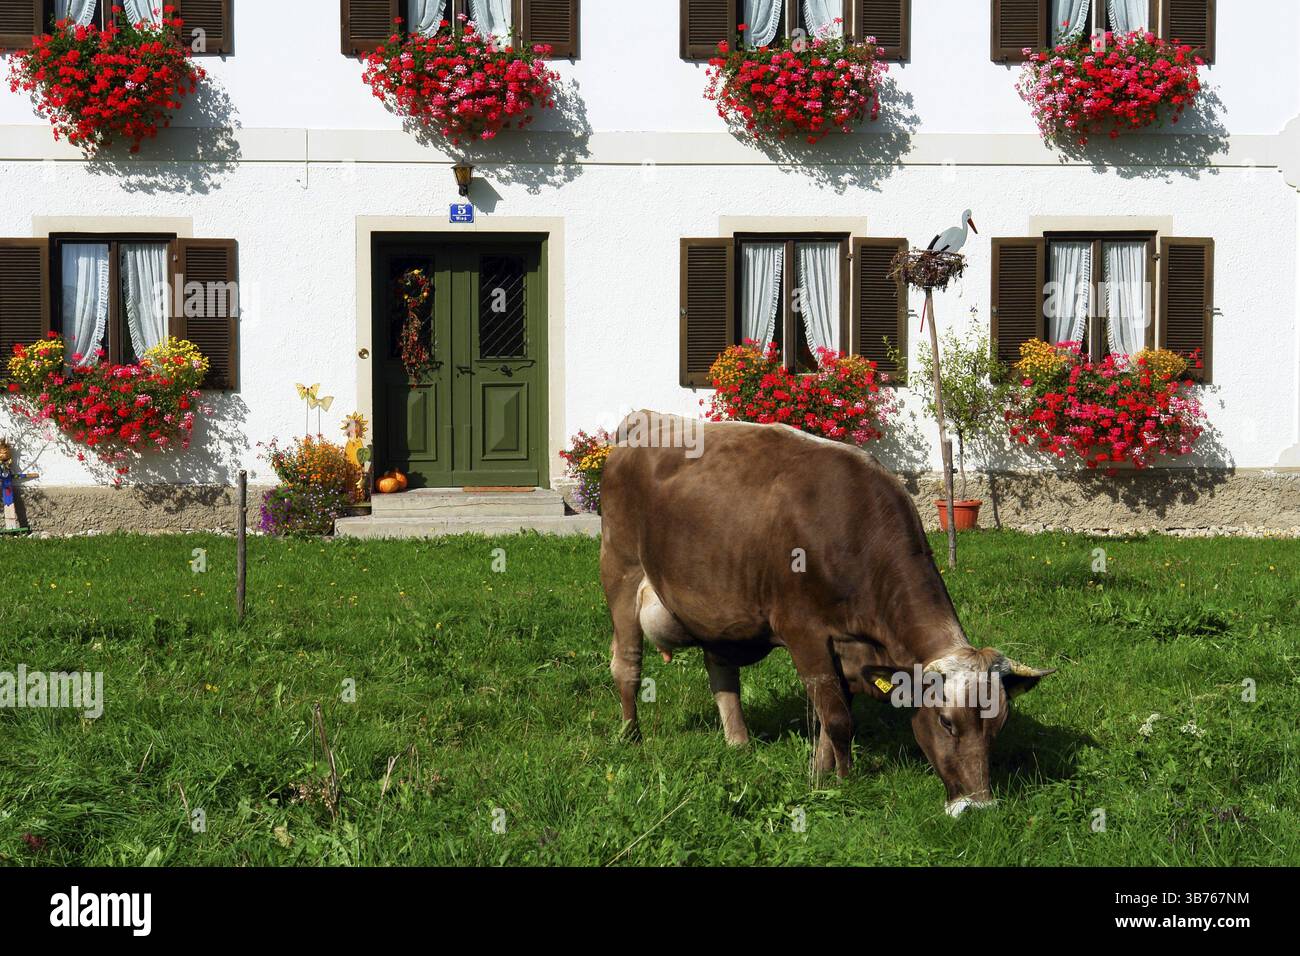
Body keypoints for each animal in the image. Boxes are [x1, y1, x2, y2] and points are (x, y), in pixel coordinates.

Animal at [599, 411, 1054, 816]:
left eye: (999, 725)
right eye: (945, 722)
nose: (981, 806)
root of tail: (644, 420)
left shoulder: (849, 651)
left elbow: (828, 716)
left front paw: (819, 776)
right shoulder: (805, 632)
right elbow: (836, 719)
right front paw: (844, 784)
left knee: (721, 671)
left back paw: (739, 744)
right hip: (620, 569)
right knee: (627, 665)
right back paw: (630, 736)